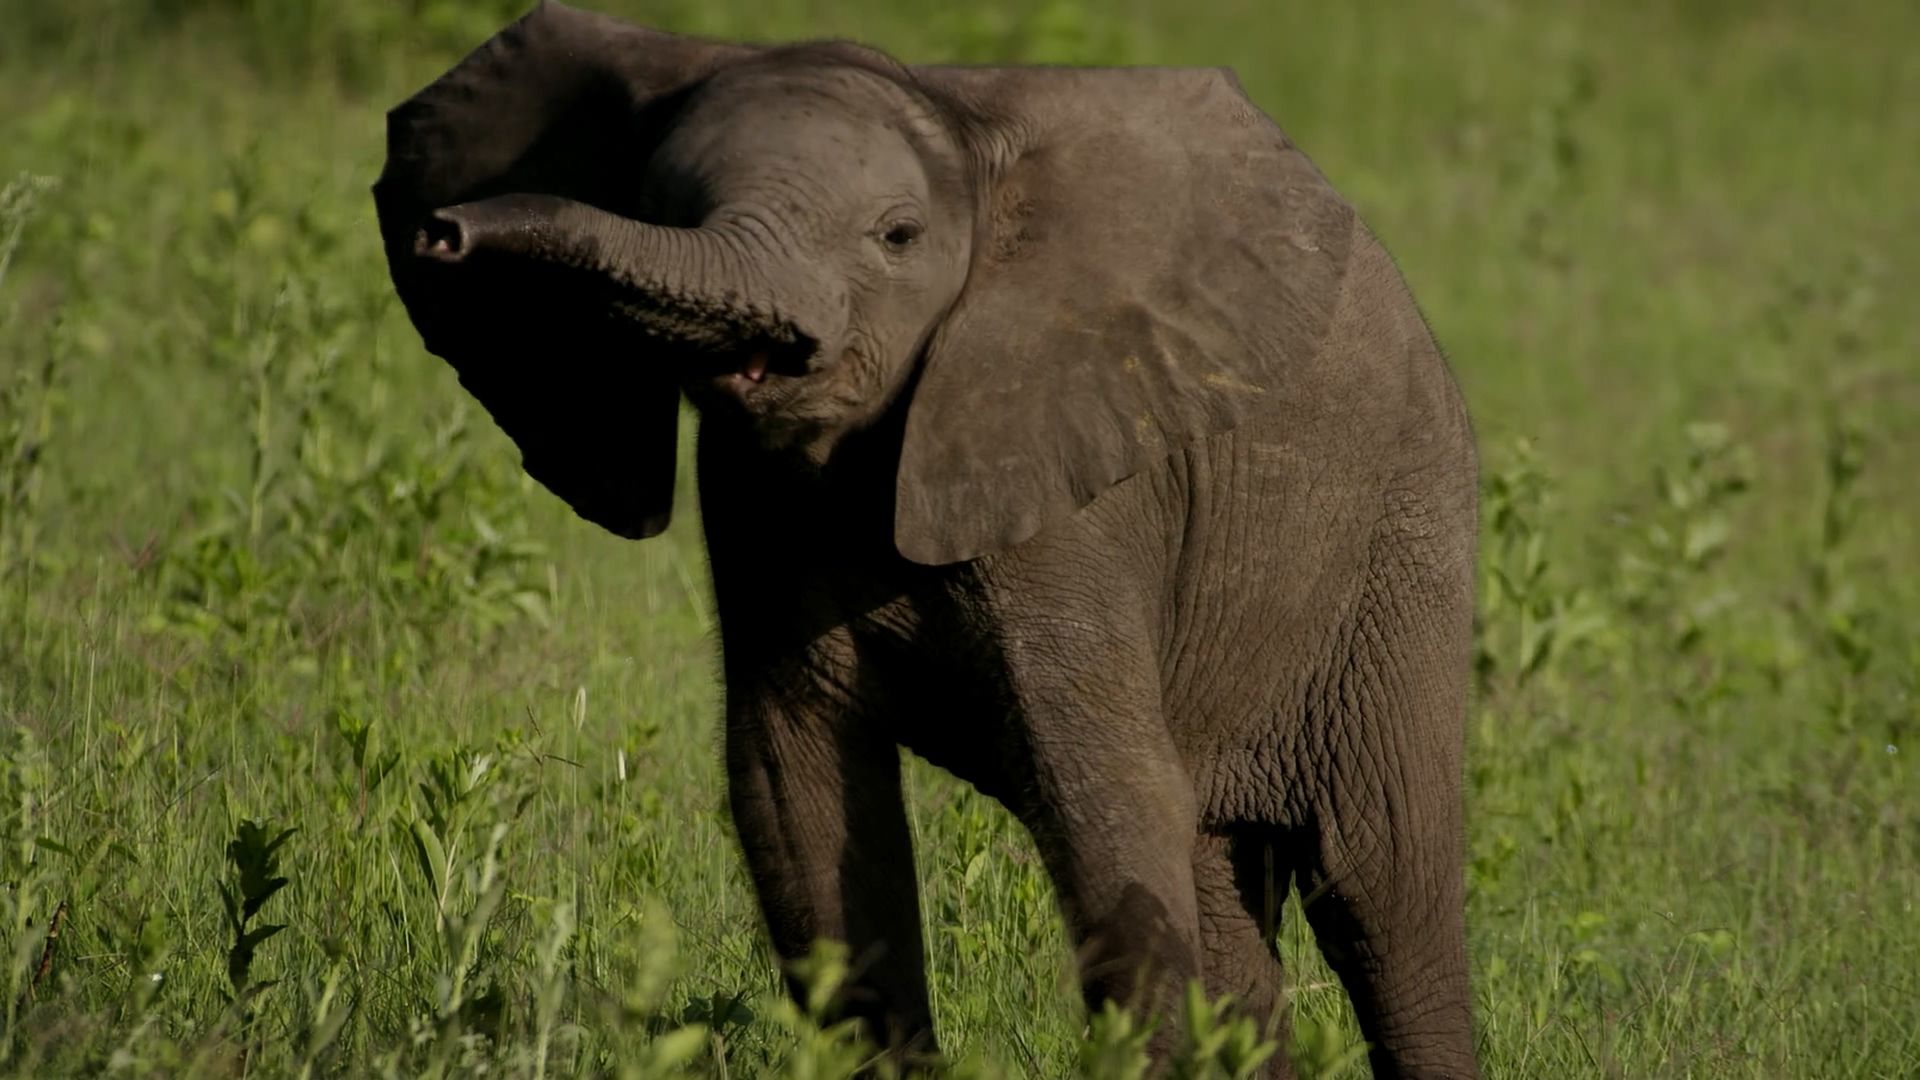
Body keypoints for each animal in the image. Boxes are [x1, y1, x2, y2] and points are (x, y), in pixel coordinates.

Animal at [372, 3, 1481, 1076]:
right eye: (657, 207)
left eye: (897, 237)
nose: (443, 234)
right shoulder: (754, 492)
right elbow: (796, 782)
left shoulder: (1063, 471)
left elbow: (1106, 797)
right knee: (1222, 888)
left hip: (1402, 544)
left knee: (1381, 887)